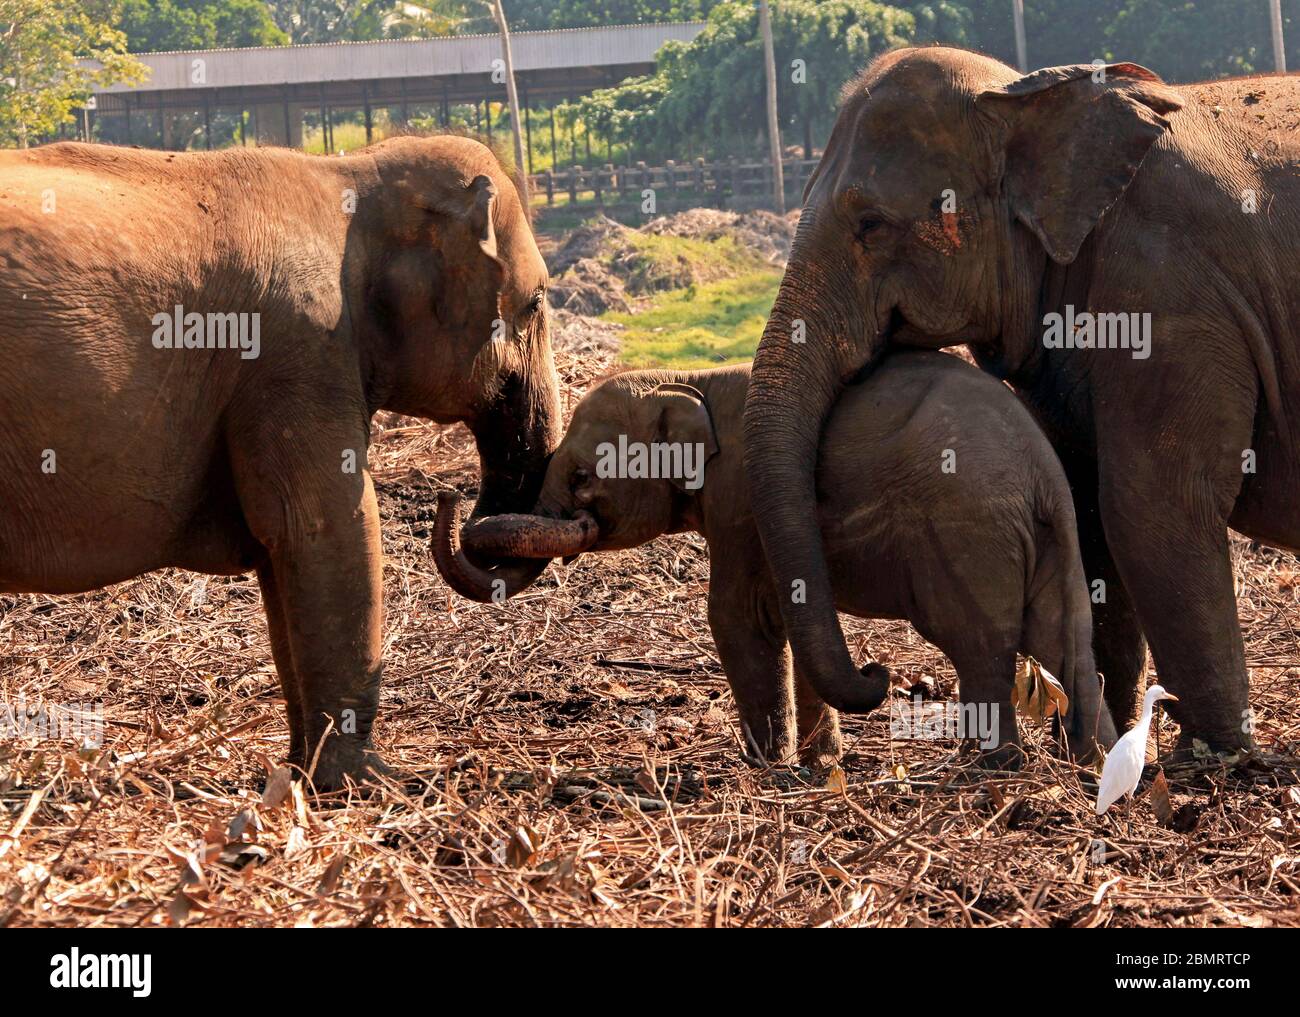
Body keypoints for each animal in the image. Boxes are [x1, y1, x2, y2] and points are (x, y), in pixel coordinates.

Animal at [0, 135, 561, 790]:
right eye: (537, 302)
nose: (449, 502)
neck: (350, 171)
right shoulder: (299, 353)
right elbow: (328, 526)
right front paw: (372, 783)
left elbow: (285, 558)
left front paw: (301, 773)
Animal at [432, 351, 1117, 769]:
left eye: (580, 478)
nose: (446, 496)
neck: (693, 378)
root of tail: (1043, 470)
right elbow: (792, 616)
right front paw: (822, 763)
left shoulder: (740, 502)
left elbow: (738, 619)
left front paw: (768, 766)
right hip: (1044, 544)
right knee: (1063, 646)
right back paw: (1095, 766)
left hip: (966, 535)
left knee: (981, 646)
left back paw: (986, 770)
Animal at [742, 47, 1300, 758]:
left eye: (870, 224)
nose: (881, 673)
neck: (1029, 94)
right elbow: (1087, 507)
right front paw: (1096, 749)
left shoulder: (1169, 295)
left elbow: (1156, 504)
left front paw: (1214, 759)